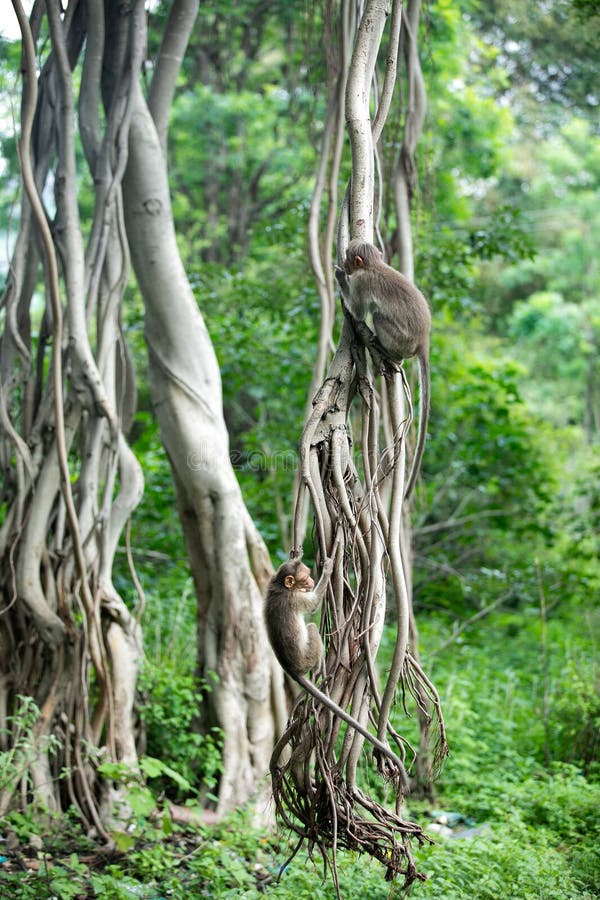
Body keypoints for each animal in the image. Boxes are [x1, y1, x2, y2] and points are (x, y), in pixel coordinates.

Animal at [265, 556, 402, 776]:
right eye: (305, 577)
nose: (312, 581)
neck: (281, 586)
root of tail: (292, 670)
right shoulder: (297, 598)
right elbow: (313, 605)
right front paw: (328, 569)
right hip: (308, 655)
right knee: (312, 628)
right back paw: (320, 668)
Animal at [336, 240, 431, 501]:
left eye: (349, 259)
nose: (345, 263)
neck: (374, 266)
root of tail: (424, 341)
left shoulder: (361, 283)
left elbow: (358, 312)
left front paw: (340, 277)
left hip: (401, 339)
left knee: (378, 316)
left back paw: (388, 352)